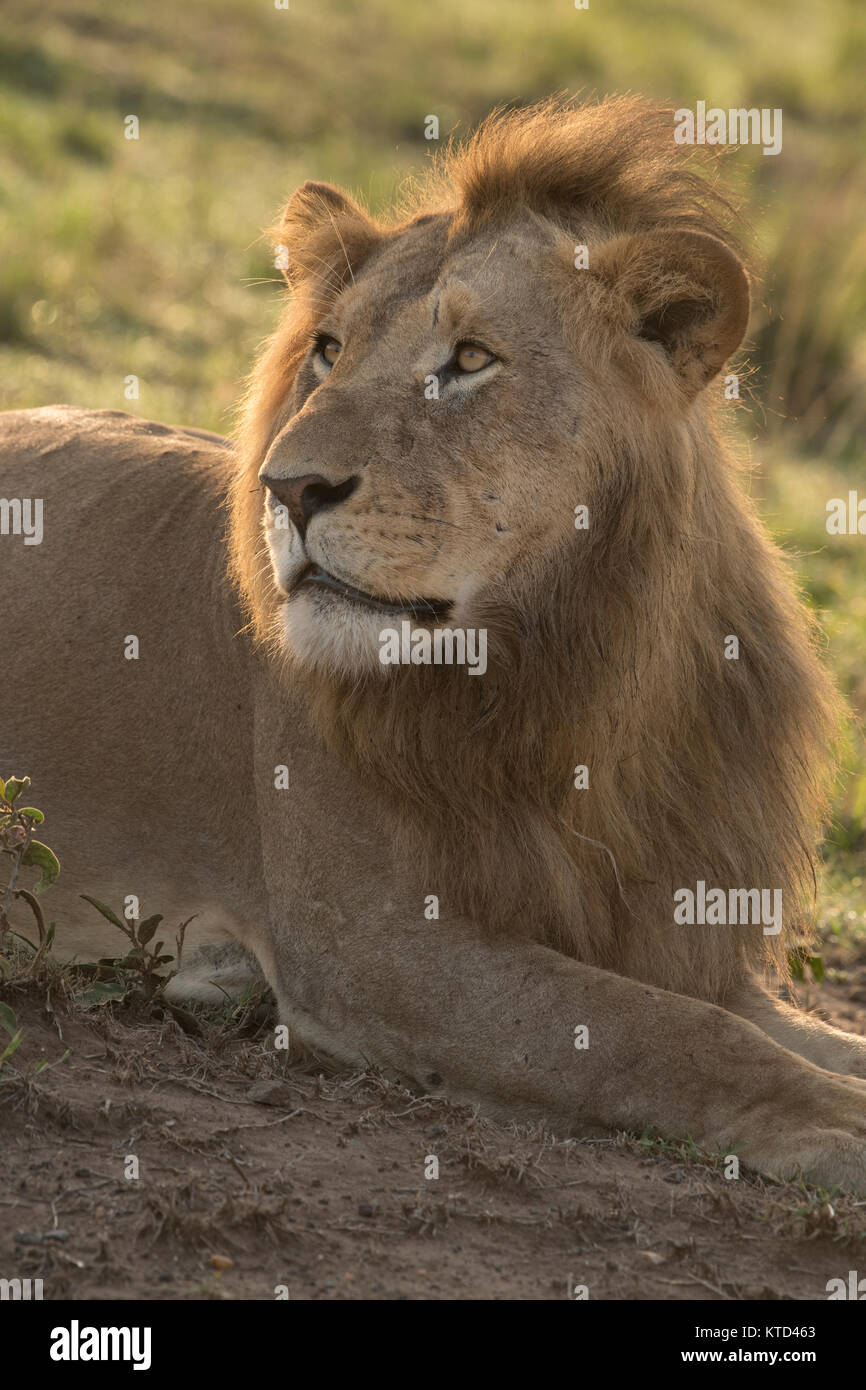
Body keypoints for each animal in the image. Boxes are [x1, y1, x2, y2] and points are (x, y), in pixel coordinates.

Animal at [3, 96, 866, 1192]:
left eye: (469, 360)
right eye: (327, 349)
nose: (286, 489)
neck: (568, 676)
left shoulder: (663, 928)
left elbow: (763, 1027)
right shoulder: (375, 950)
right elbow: (671, 1038)